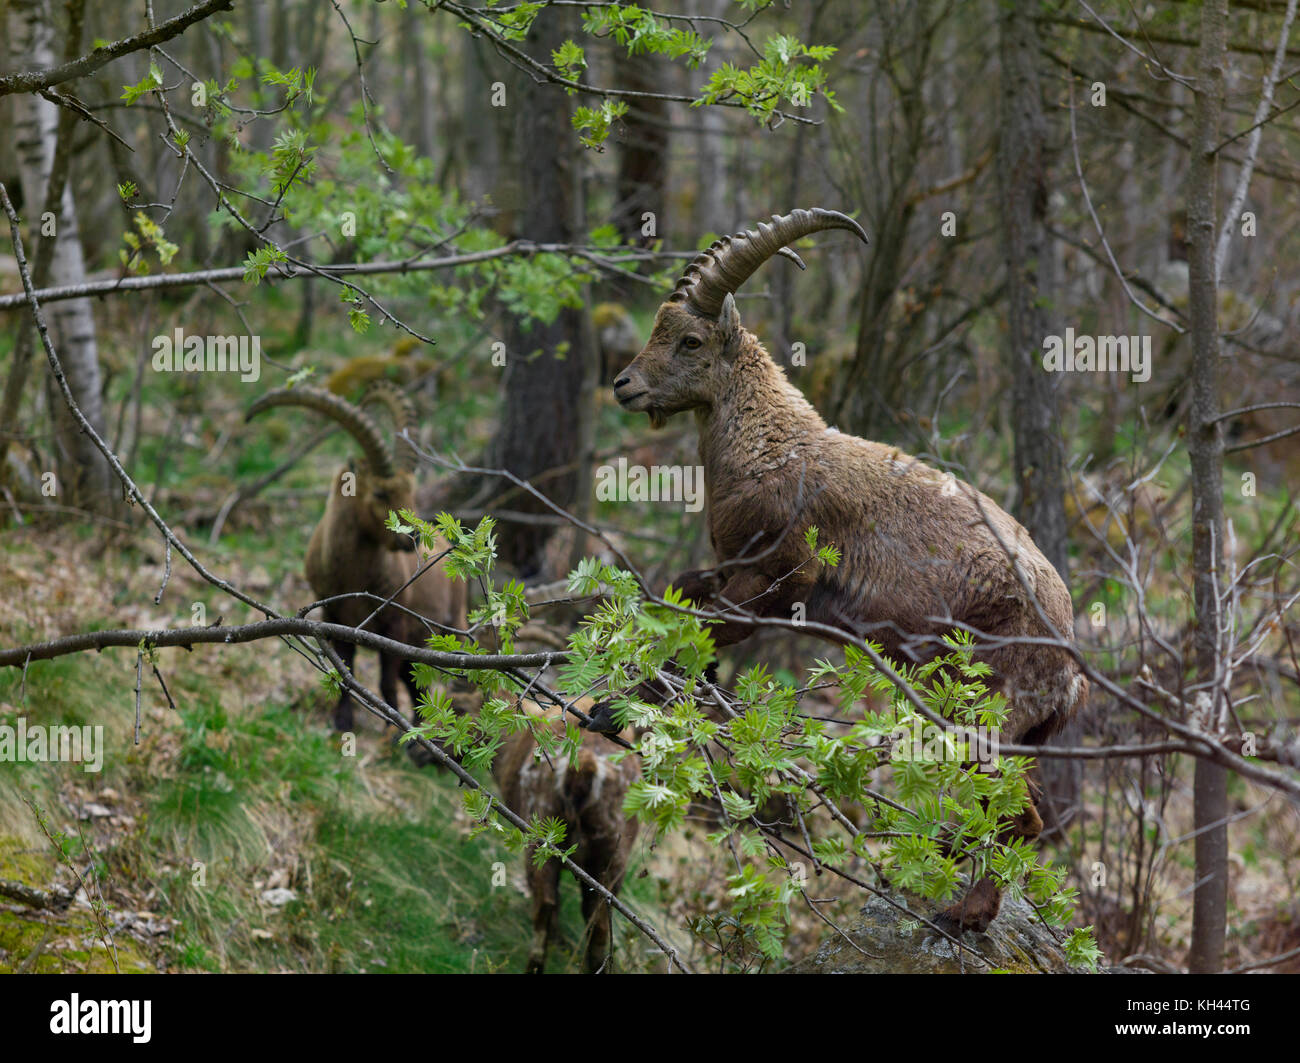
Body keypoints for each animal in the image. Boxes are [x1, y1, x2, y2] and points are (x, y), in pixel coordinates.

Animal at [245, 384, 467, 742]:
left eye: (411, 490)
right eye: (379, 493)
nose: (413, 537)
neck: (352, 576)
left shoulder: (393, 623)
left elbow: (385, 682)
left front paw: (391, 730)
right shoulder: (334, 617)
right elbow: (346, 670)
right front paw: (343, 722)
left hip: (451, 626)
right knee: (416, 686)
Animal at [607, 207, 1089, 933]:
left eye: (690, 339)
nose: (624, 386)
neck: (769, 443)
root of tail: (1071, 668)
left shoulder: (781, 578)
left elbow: (709, 627)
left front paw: (628, 698)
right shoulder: (732, 569)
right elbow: (686, 599)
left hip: (982, 710)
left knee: (1018, 814)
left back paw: (963, 912)